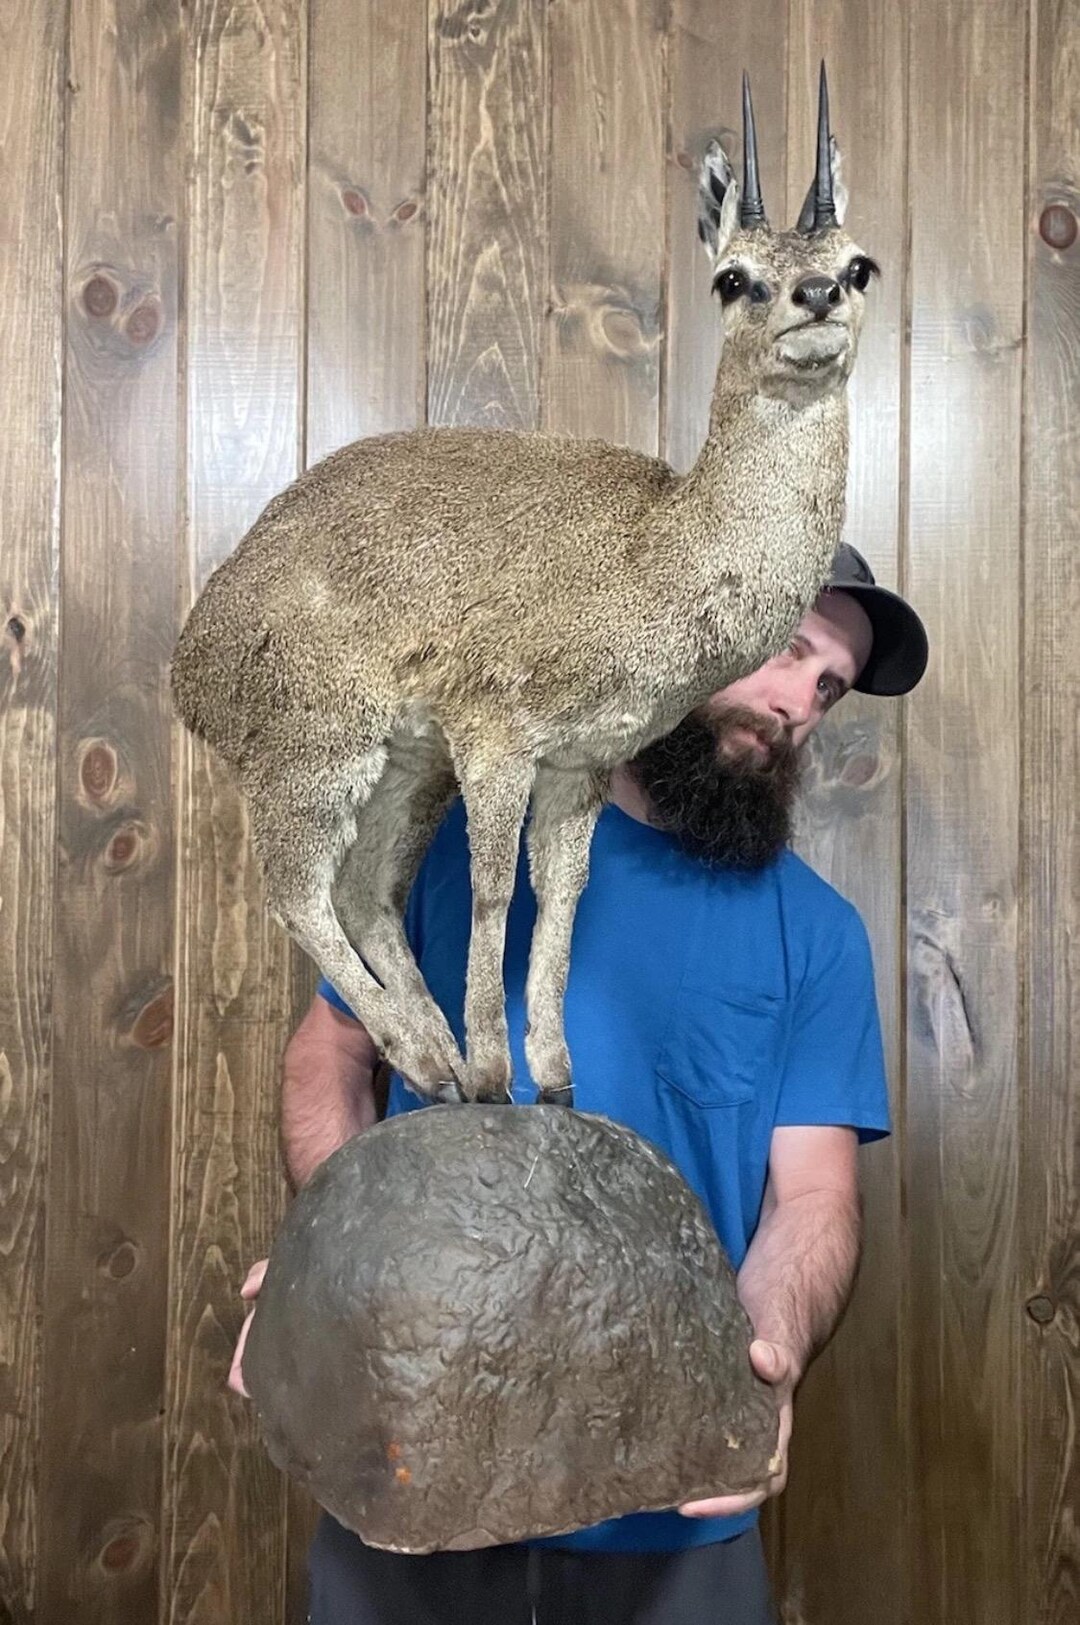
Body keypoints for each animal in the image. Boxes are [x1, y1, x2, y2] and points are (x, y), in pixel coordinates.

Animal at [172, 66, 879, 1110]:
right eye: (732, 277)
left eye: (862, 264)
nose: (817, 293)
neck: (657, 545)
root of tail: (189, 665)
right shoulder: (495, 735)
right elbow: (494, 888)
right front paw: (500, 1066)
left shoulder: (579, 764)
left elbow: (562, 900)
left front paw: (551, 1077)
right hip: (315, 746)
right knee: (297, 889)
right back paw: (431, 1056)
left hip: (404, 769)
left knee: (366, 892)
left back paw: (438, 1054)